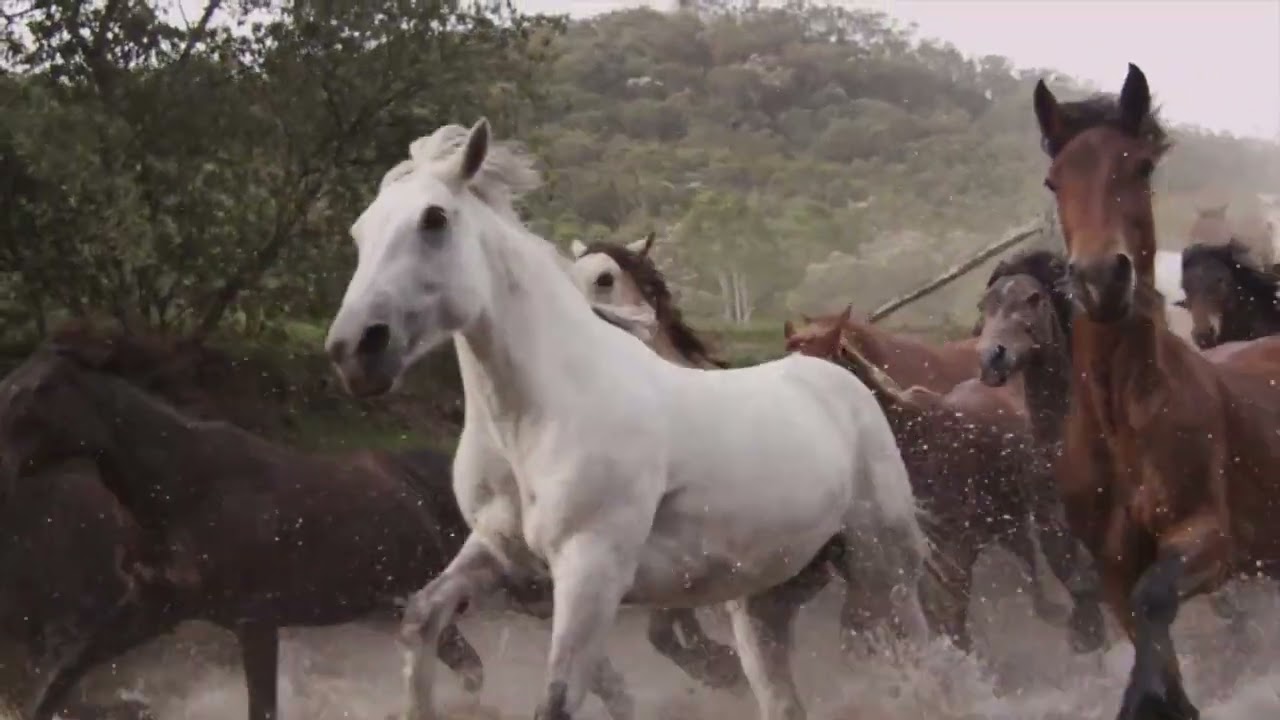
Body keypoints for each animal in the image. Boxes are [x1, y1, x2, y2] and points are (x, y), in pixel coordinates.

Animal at [0, 346, 497, 720]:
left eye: (36, 392)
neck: (182, 488)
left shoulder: (254, 621)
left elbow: (263, 707)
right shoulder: (152, 606)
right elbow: (64, 674)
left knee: (471, 668)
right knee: (469, 668)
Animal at [323, 119, 932, 720]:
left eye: (434, 219)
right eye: (359, 232)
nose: (354, 350)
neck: (539, 414)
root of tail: (841, 378)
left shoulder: (592, 569)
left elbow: (561, 698)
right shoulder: (501, 553)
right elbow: (422, 617)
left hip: (885, 568)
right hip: (764, 599)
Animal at [1033, 62, 1280, 719]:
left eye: (1140, 167)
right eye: (1053, 181)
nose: (1101, 280)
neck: (1124, 424)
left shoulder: (1212, 541)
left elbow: (1156, 604)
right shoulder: (1114, 569)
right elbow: (1154, 646)